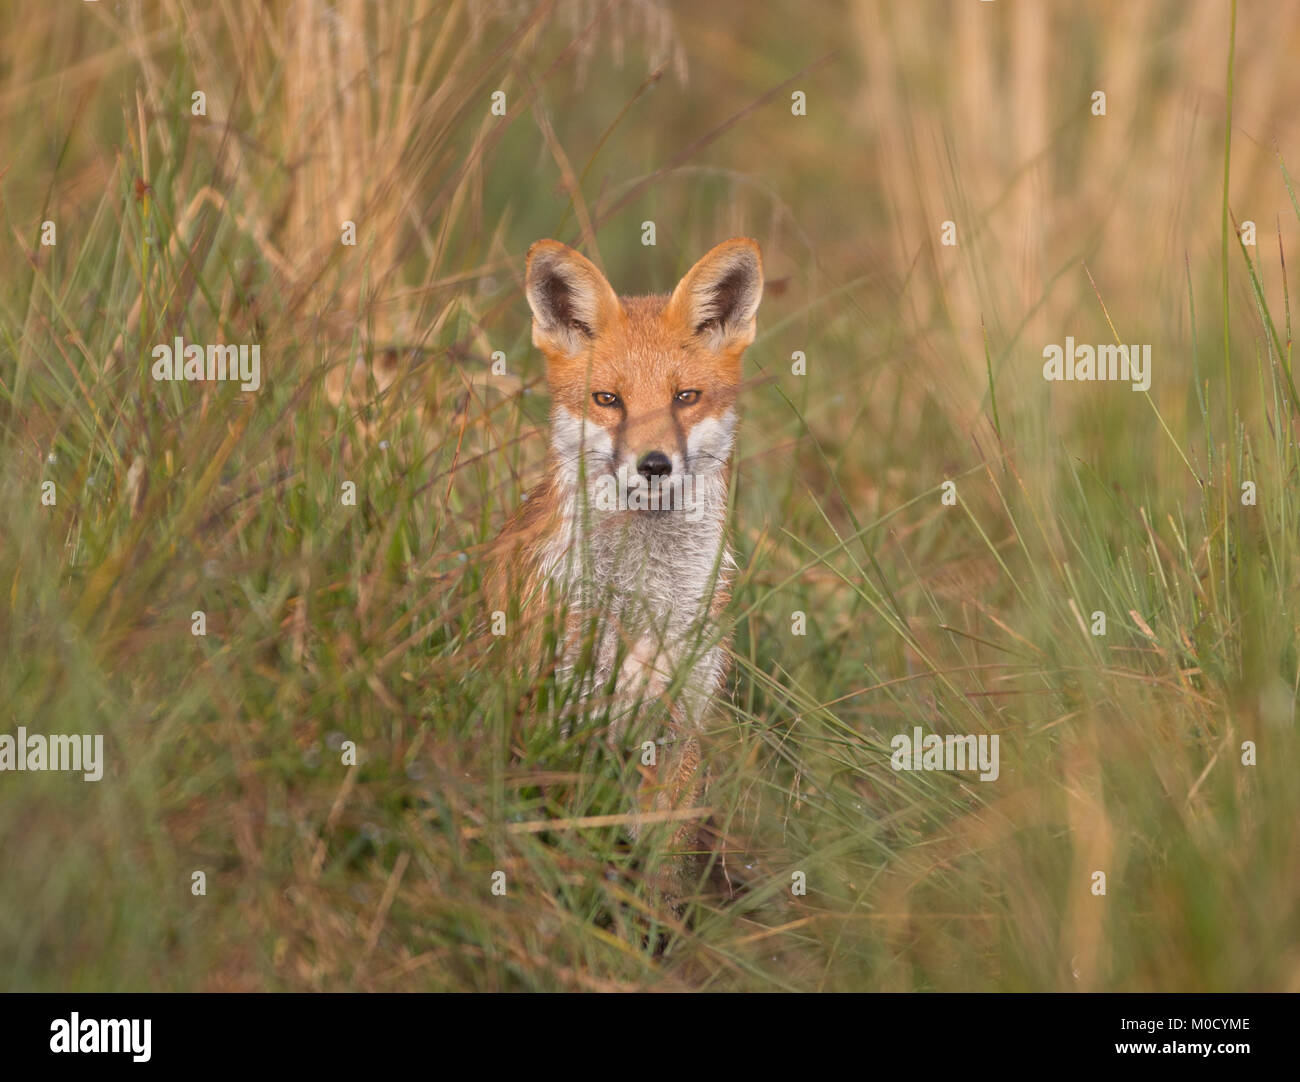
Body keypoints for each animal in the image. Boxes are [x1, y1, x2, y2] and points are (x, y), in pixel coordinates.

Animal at [487, 237, 764, 900]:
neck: (643, 601)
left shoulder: (679, 729)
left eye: (685, 397)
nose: (655, 465)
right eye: (608, 400)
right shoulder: (560, 719)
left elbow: (664, 875)